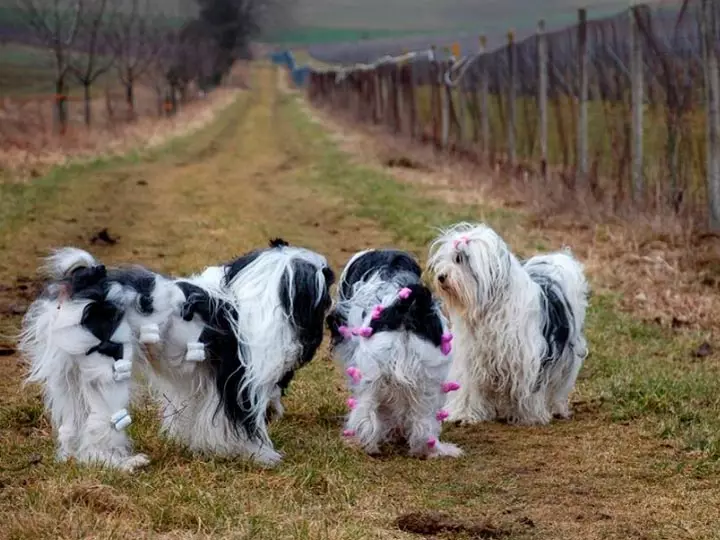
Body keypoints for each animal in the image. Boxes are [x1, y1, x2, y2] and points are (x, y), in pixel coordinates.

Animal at [324, 249, 462, 460]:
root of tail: (407, 306)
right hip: (429, 380)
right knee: (424, 422)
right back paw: (429, 450)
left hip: (370, 377)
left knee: (366, 412)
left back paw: (361, 444)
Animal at [428, 223, 592, 426]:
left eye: (460, 259)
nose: (441, 277)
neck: (488, 309)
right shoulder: (470, 358)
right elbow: (469, 387)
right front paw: (465, 413)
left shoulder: (526, 359)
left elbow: (527, 389)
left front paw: (528, 416)